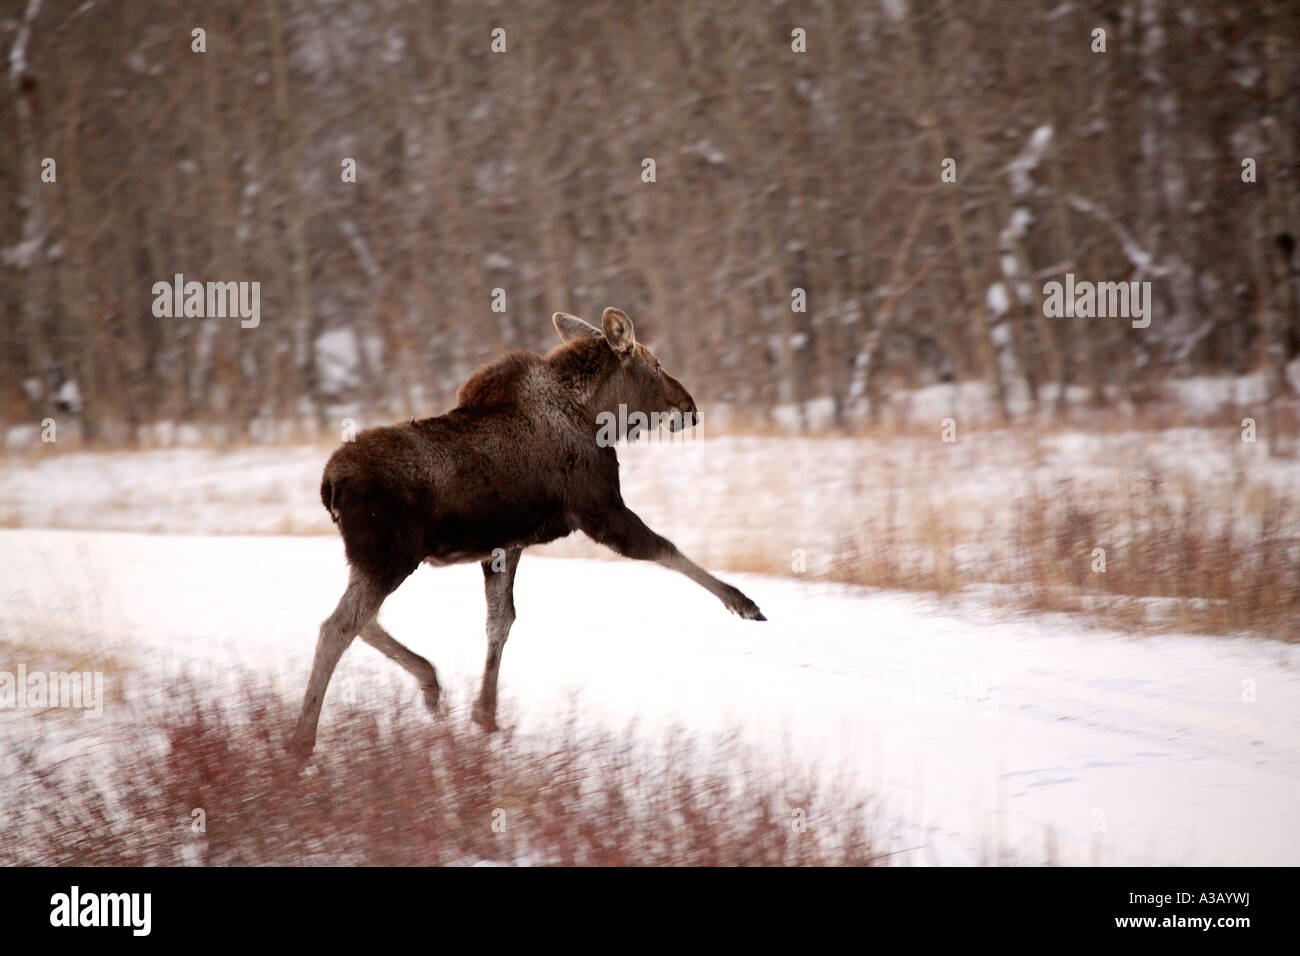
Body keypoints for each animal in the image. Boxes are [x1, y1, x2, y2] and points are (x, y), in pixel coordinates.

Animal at [287, 308, 766, 757]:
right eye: (656, 364)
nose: (690, 408)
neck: (598, 415)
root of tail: (329, 484)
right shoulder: (599, 511)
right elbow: (667, 549)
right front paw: (742, 602)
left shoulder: (505, 544)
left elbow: (500, 620)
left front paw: (485, 714)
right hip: (389, 556)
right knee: (338, 626)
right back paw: (302, 740)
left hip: (376, 559)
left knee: (360, 620)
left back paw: (428, 681)